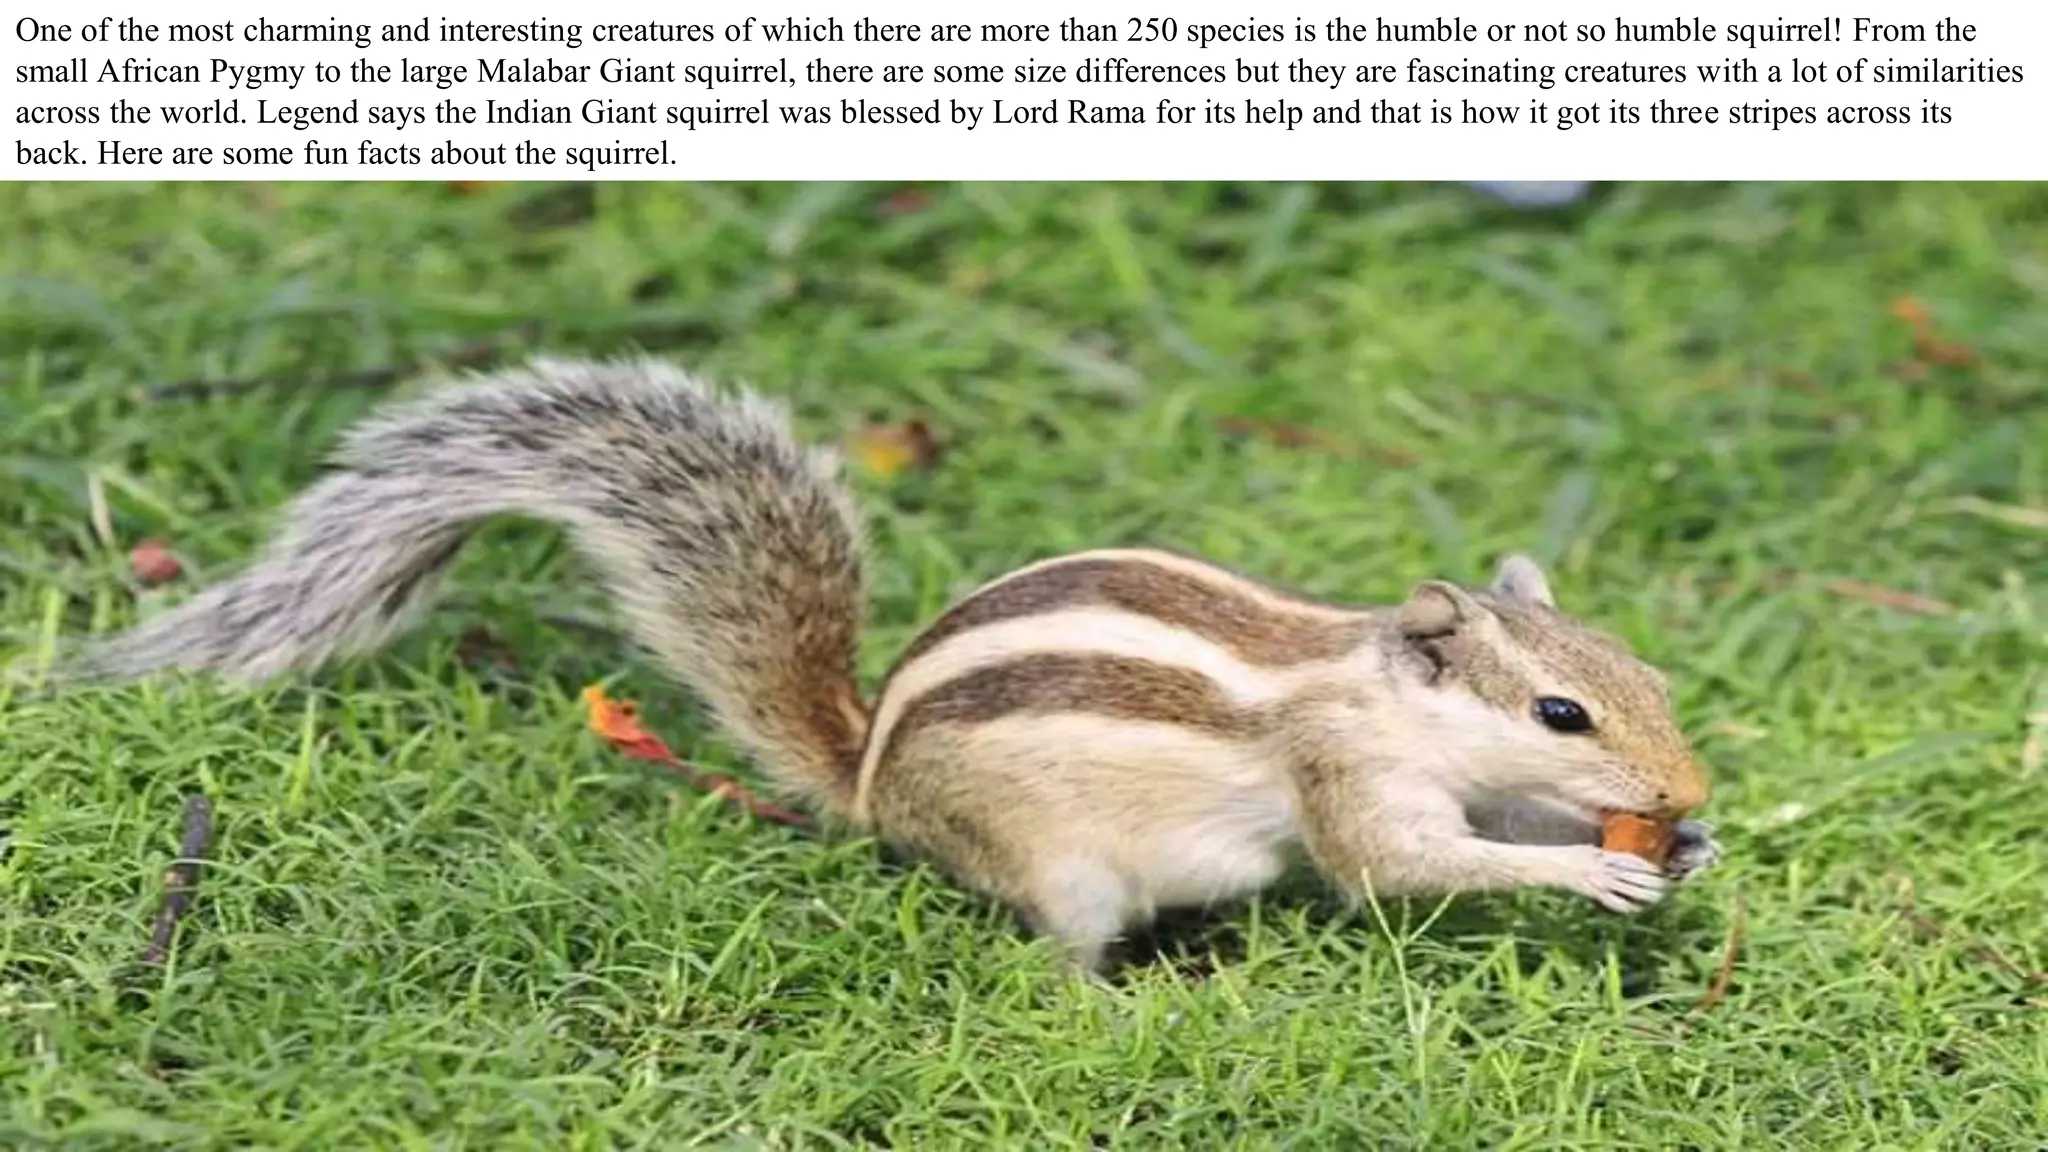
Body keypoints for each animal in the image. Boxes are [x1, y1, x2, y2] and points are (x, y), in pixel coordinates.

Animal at [49, 357, 1720, 970]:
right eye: (1562, 709)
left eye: (1645, 679)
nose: (1689, 789)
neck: (1368, 686)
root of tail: (865, 780)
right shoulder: (1348, 778)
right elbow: (1407, 869)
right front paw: (1591, 870)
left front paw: (1673, 849)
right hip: (1058, 863)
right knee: (1060, 951)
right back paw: (1133, 1002)